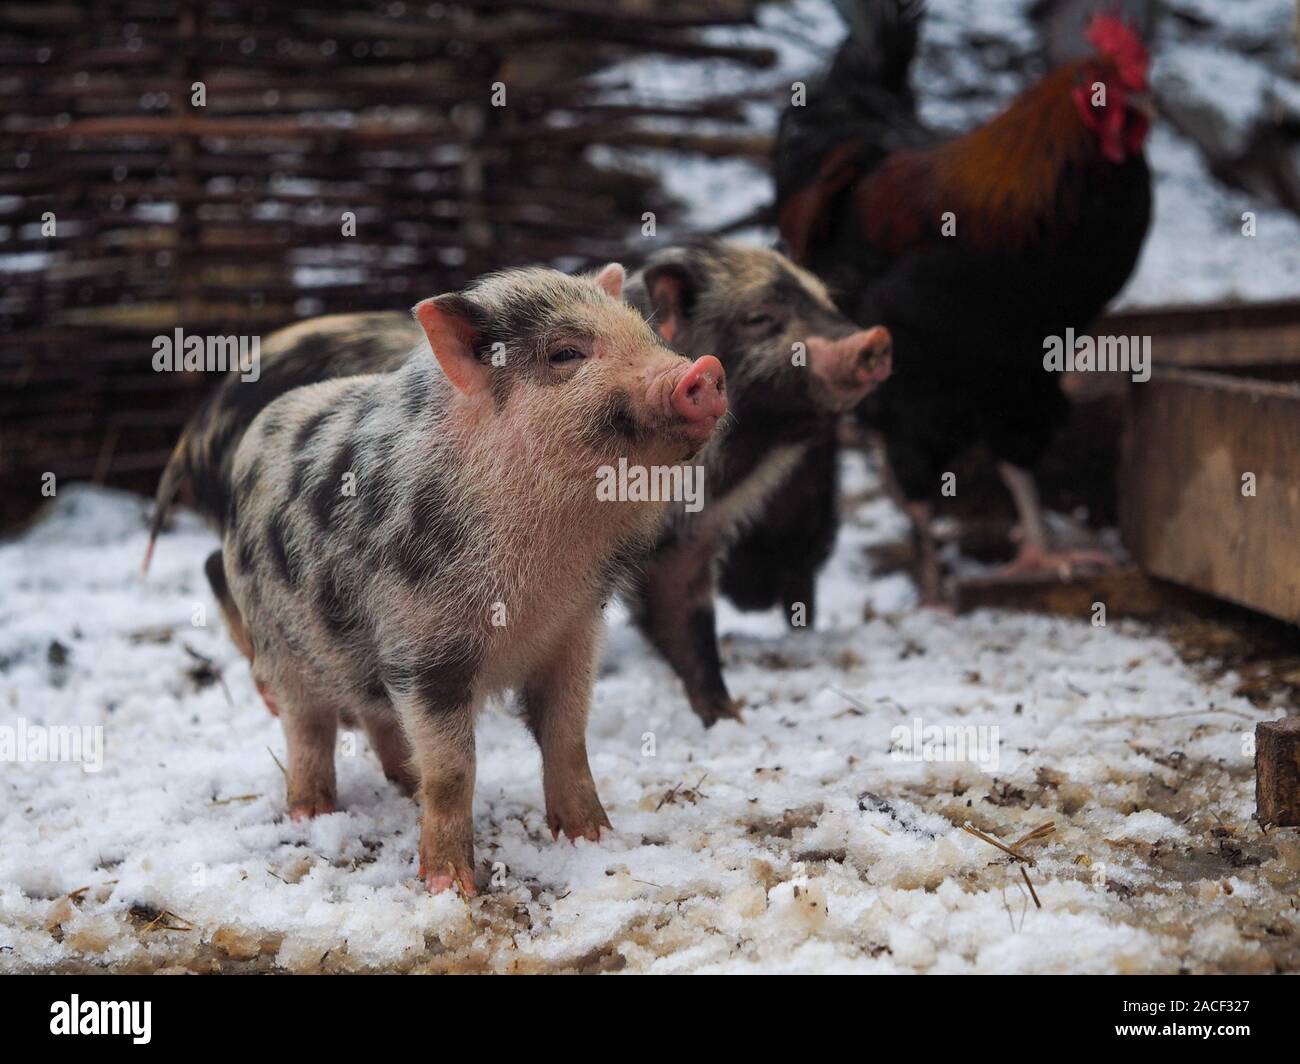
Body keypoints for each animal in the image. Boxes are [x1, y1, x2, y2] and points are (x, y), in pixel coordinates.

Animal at [147, 240, 888, 730]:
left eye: (827, 301)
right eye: (761, 317)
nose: (875, 337)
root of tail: (194, 434)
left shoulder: (689, 548)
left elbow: (693, 634)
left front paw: (733, 720)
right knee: (217, 569)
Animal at [218, 264, 726, 893]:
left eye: (646, 333)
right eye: (565, 353)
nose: (705, 369)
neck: (545, 572)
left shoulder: (575, 629)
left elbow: (568, 739)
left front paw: (595, 839)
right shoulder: (422, 644)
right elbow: (454, 770)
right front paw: (450, 888)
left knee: (377, 717)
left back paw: (401, 786)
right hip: (279, 643)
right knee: (308, 727)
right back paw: (312, 814)